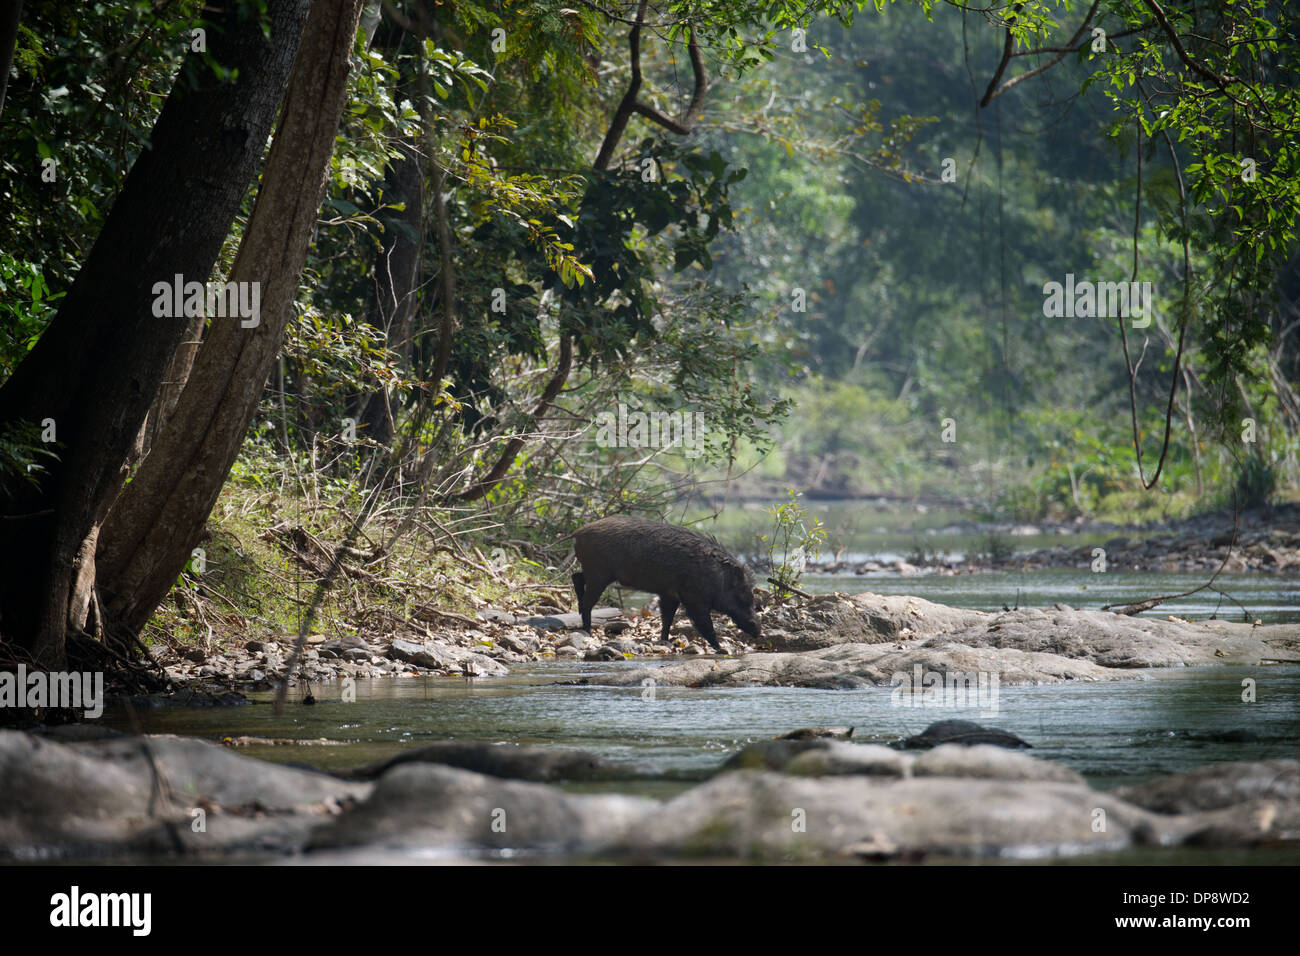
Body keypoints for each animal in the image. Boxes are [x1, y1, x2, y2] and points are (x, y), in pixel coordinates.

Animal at [570, 515, 761, 652]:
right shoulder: (694, 600)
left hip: (595, 572)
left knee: (576, 576)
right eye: (741, 593)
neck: (718, 577)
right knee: (586, 602)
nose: (758, 630)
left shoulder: (670, 594)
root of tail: (577, 533)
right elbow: (705, 624)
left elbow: (667, 619)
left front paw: (664, 641)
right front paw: (720, 648)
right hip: (599, 573)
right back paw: (587, 632)